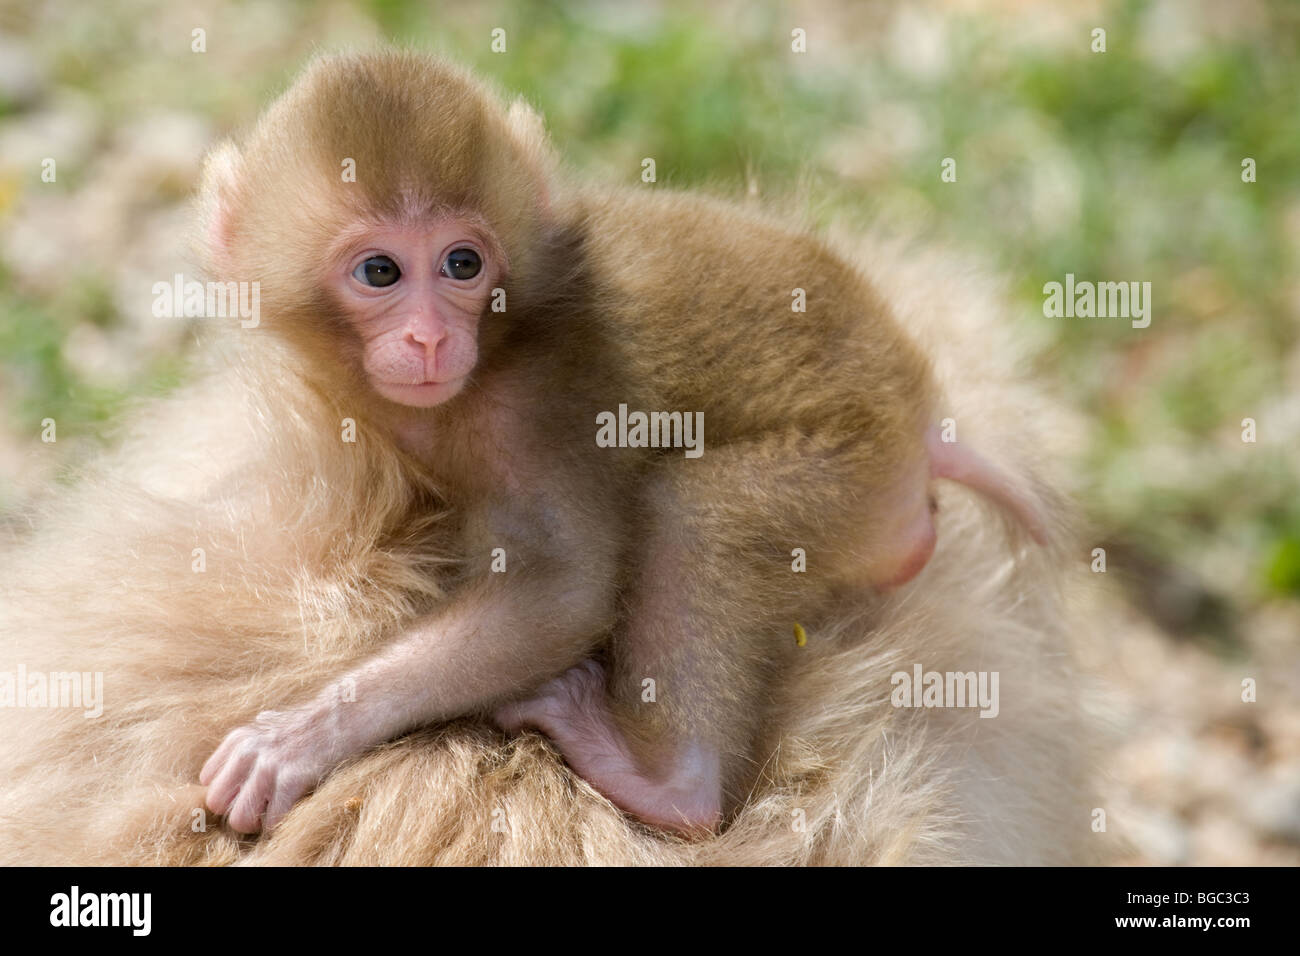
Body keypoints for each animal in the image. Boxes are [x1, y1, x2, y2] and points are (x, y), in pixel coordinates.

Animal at [0, 51, 1097, 864]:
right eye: (379, 270)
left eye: (461, 262)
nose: (430, 339)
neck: (501, 335)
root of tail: (925, 425)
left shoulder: (533, 409)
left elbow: (564, 586)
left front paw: (305, 733)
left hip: (850, 474)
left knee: (697, 518)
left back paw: (668, 781)